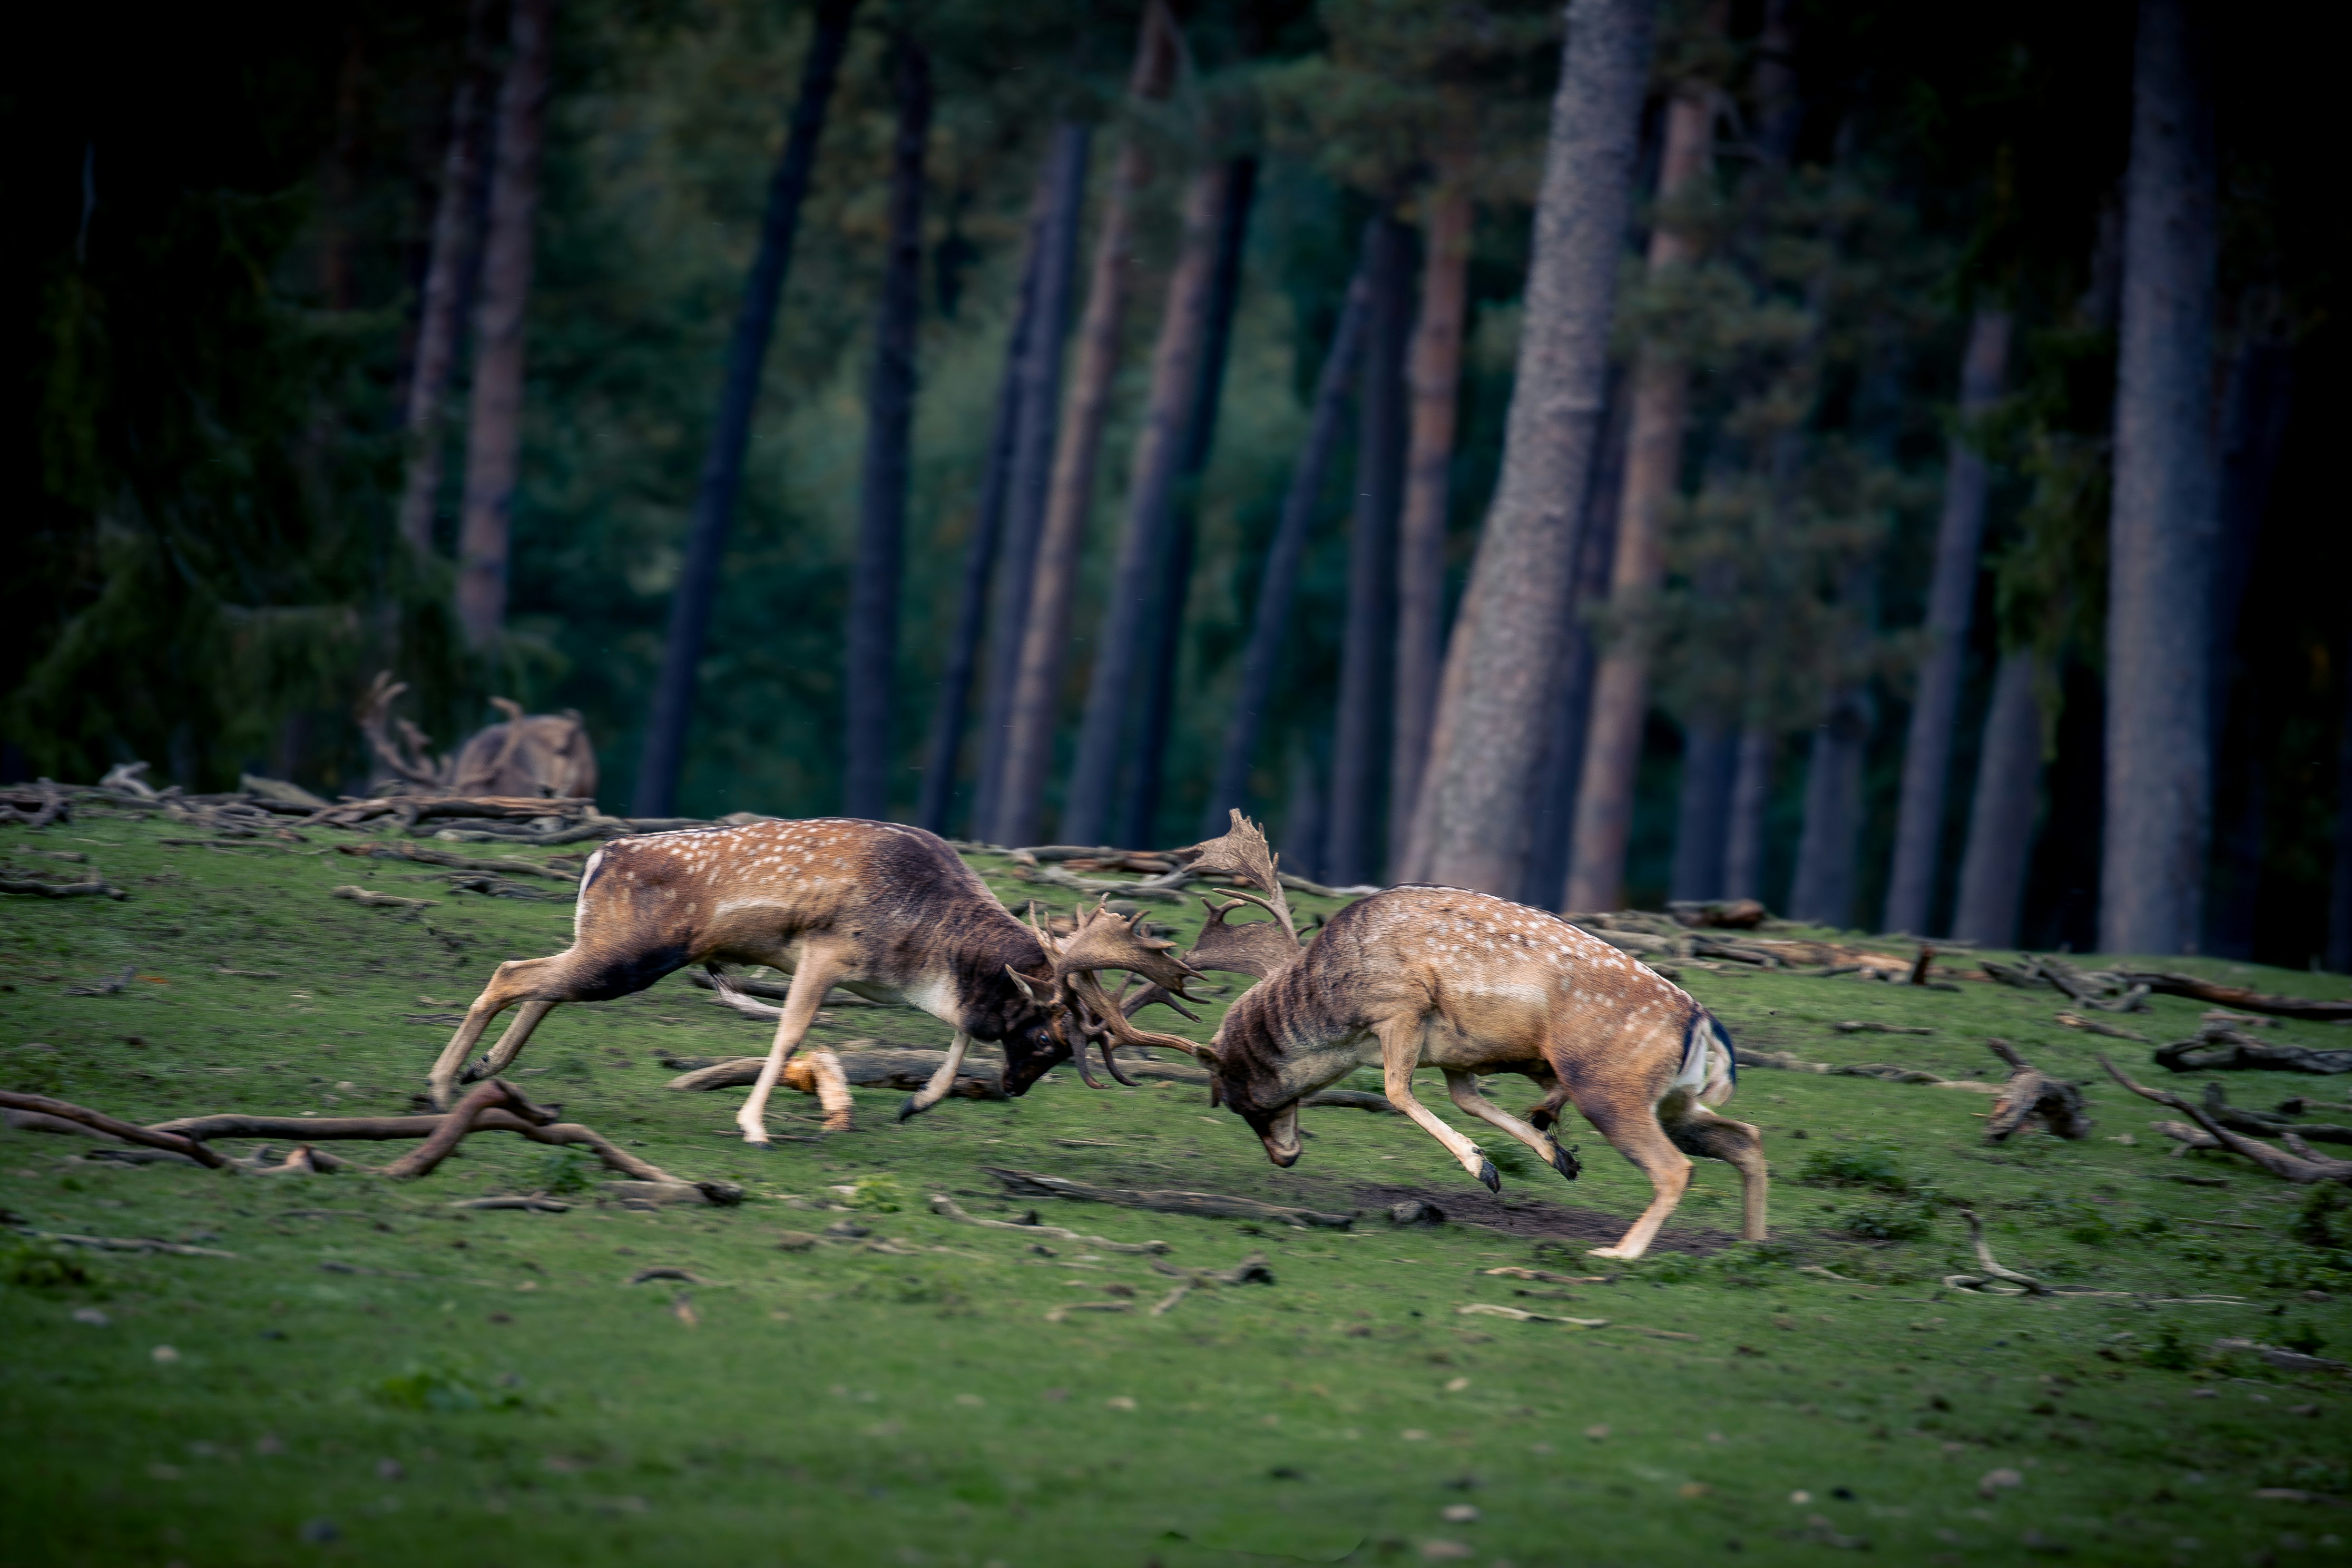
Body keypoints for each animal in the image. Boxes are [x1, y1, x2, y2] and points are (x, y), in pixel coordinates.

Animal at [423, 817, 1201, 1142]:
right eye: (1047, 1041)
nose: (1013, 1090)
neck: (925, 948)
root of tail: (596, 858)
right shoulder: (826, 955)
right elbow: (794, 1033)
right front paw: (753, 1124)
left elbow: (958, 1032)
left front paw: (917, 1103)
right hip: (631, 952)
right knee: (513, 971)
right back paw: (440, 1085)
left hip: (612, 950)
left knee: (543, 984)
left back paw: (484, 1069)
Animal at [1081, 814, 1767, 1261]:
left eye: (1230, 1091)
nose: (1283, 1157)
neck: (1338, 1007)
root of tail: (1703, 1023)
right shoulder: (1459, 1051)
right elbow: (1468, 1098)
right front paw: (1554, 1155)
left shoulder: (1402, 1008)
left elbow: (1396, 1091)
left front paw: (1485, 1167)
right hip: (1674, 1100)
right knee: (1747, 1138)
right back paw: (1753, 1247)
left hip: (1610, 1088)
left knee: (1676, 1169)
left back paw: (1619, 1254)